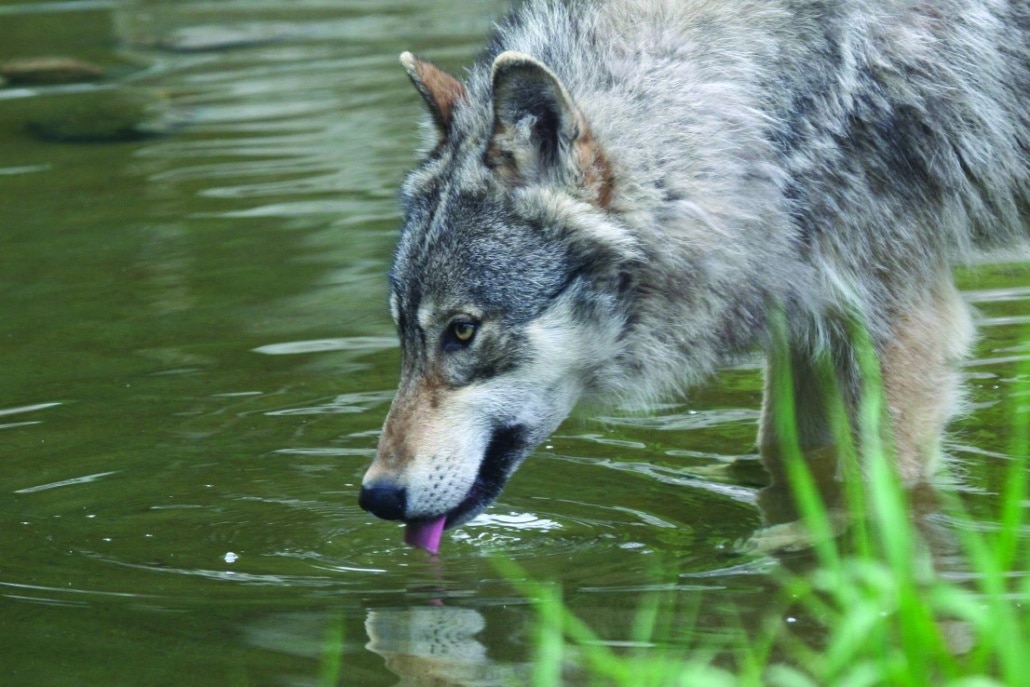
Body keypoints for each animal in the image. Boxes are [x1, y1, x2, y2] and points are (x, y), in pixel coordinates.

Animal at [358, 0, 1030, 552]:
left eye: (462, 331)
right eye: (404, 333)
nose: (375, 496)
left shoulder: (907, 324)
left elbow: (880, 496)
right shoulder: (807, 309)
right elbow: (787, 450)